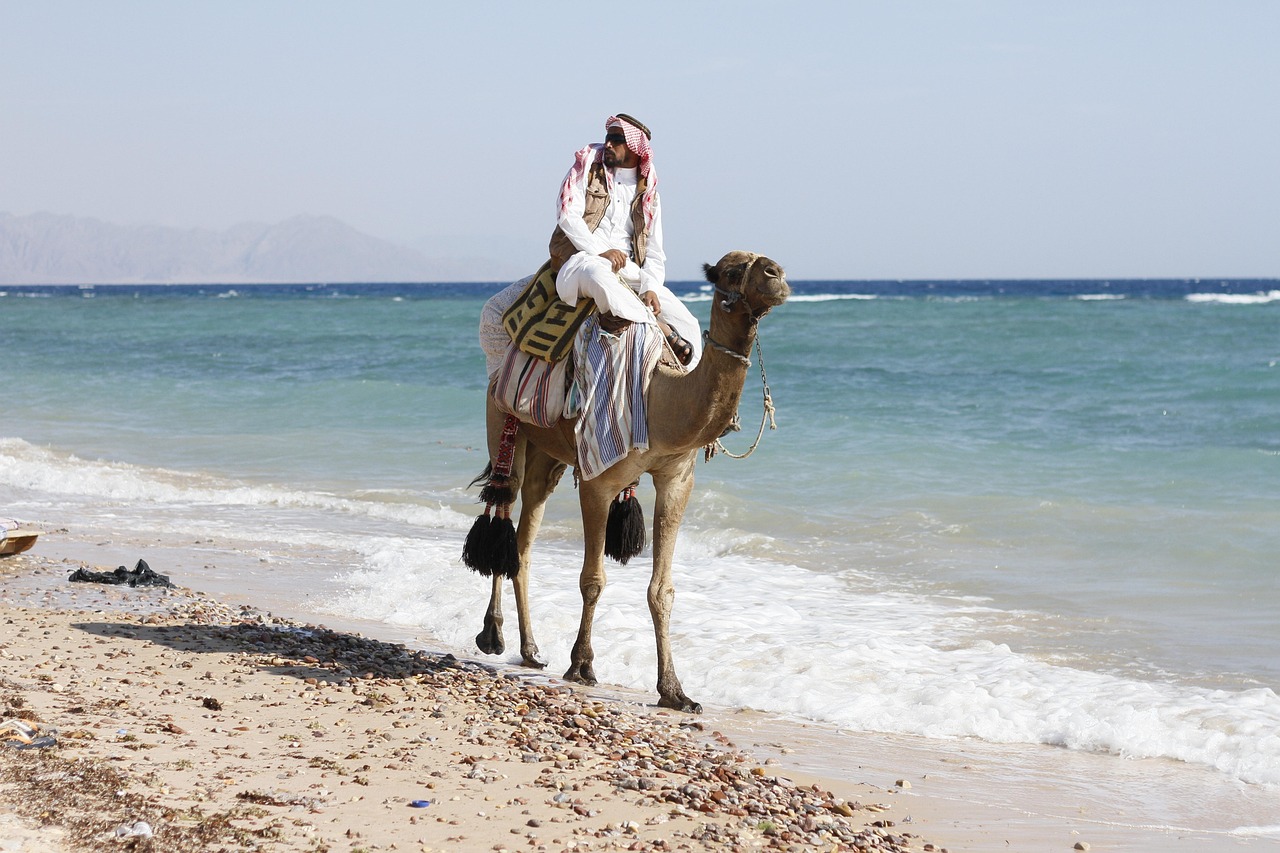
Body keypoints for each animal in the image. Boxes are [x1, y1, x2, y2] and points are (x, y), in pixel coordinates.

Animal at [464, 251, 789, 712]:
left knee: (524, 542)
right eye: (730, 271)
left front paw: (674, 691)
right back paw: (493, 636)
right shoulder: (598, 481)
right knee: (504, 506)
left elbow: (662, 590)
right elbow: (593, 580)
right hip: (505, 423)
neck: (658, 396)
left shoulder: (677, 478)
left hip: (548, 457)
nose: (776, 274)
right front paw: (582, 665)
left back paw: (531, 649)